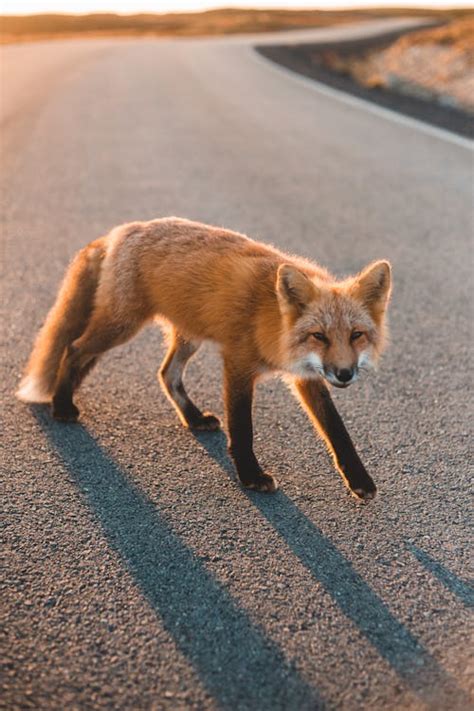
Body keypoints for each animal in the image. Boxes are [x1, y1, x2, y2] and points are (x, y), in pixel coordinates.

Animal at [17, 217, 392, 500]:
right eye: (319, 336)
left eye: (356, 335)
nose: (344, 373)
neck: (270, 317)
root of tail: (122, 229)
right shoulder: (238, 363)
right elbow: (242, 428)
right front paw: (250, 476)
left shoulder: (307, 375)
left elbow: (338, 431)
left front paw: (359, 481)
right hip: (121, 327)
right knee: (73, 349)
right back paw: (62, 404)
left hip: (188, 337)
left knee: (166, 374)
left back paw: (194, 418)